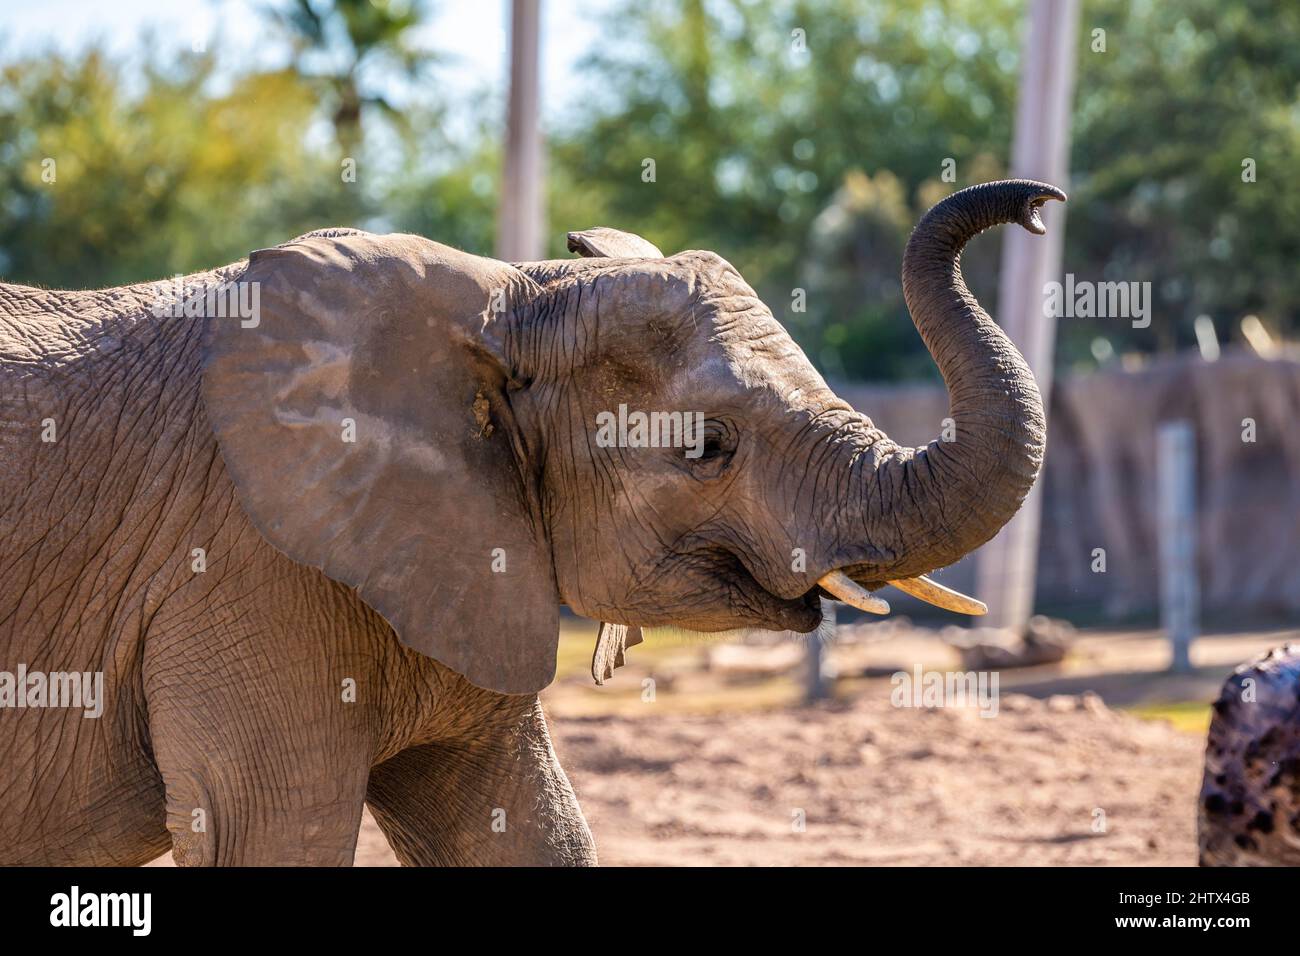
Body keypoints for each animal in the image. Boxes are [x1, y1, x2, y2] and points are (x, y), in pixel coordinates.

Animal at [0, 179, 1062, 866]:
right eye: (708, 446)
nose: (1036, 206)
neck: (509, 296)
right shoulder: (241, 565)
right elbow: (267, 824)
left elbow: (522, 825)